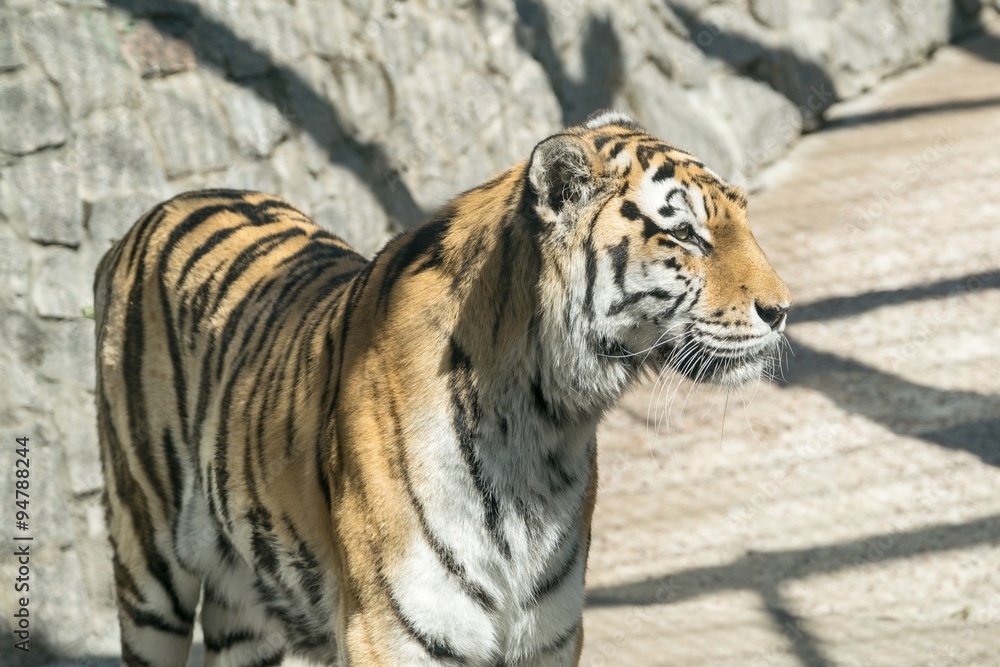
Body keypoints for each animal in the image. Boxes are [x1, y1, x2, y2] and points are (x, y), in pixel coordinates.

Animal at [94, 109, 790, 667]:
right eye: (685, 235)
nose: (782, 310)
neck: (544, 423)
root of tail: (163, 207)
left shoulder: (548, 633)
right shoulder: (393, 631)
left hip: (245, 604)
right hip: (147, 568)